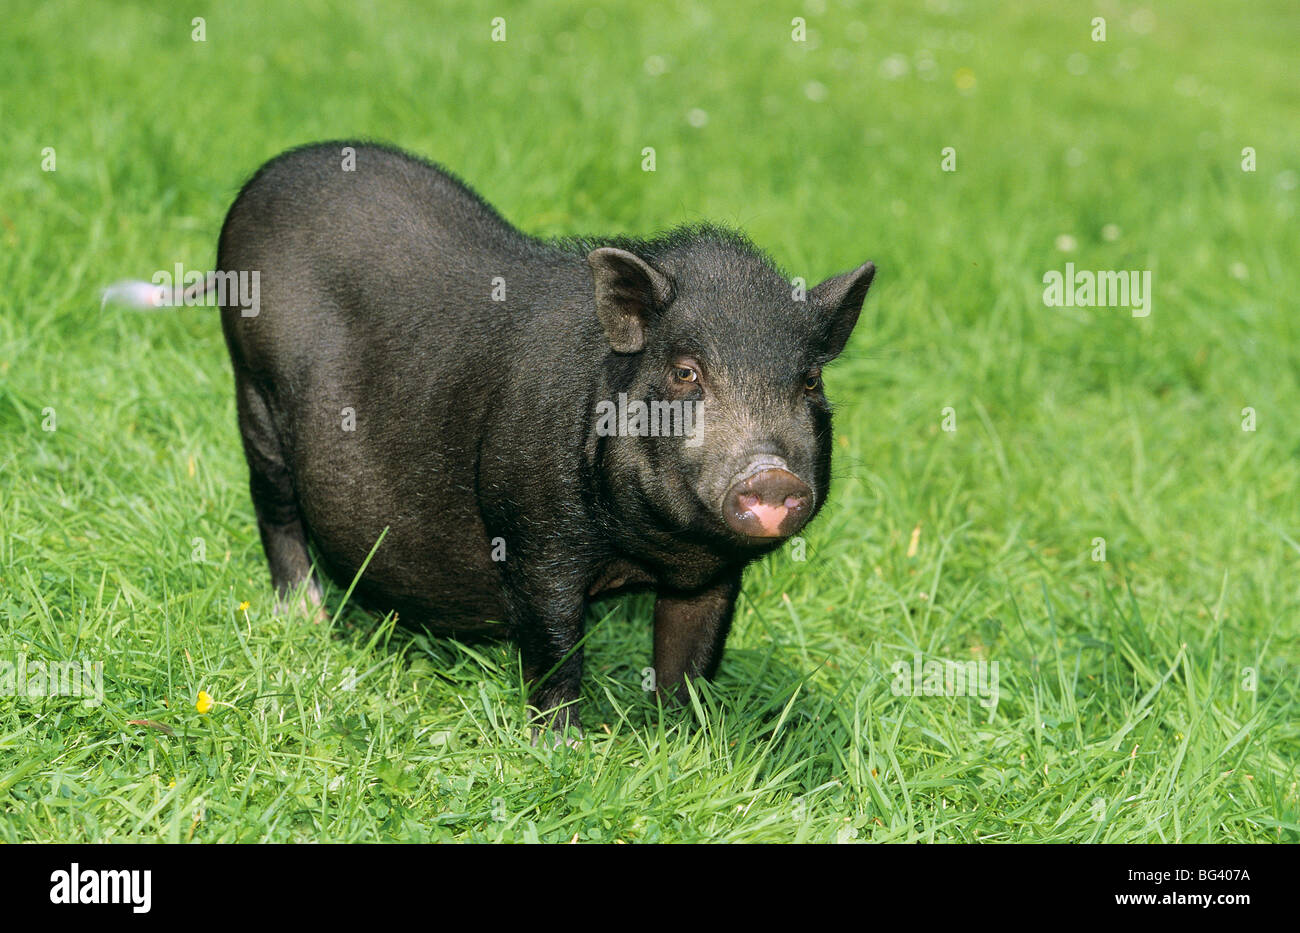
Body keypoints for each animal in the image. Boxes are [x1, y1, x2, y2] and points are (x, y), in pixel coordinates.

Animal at [114, 142, 876, 738]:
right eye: (687, 371)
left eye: (810, 380)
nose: (772, 475)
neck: (648, 552)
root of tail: (267, 176)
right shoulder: (532, 531)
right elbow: (555, 652)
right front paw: (565, 749)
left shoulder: (712, 573)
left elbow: (688, 664)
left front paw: (685, 747)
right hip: (254, 390)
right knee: (274, 506)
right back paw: (306, 620)